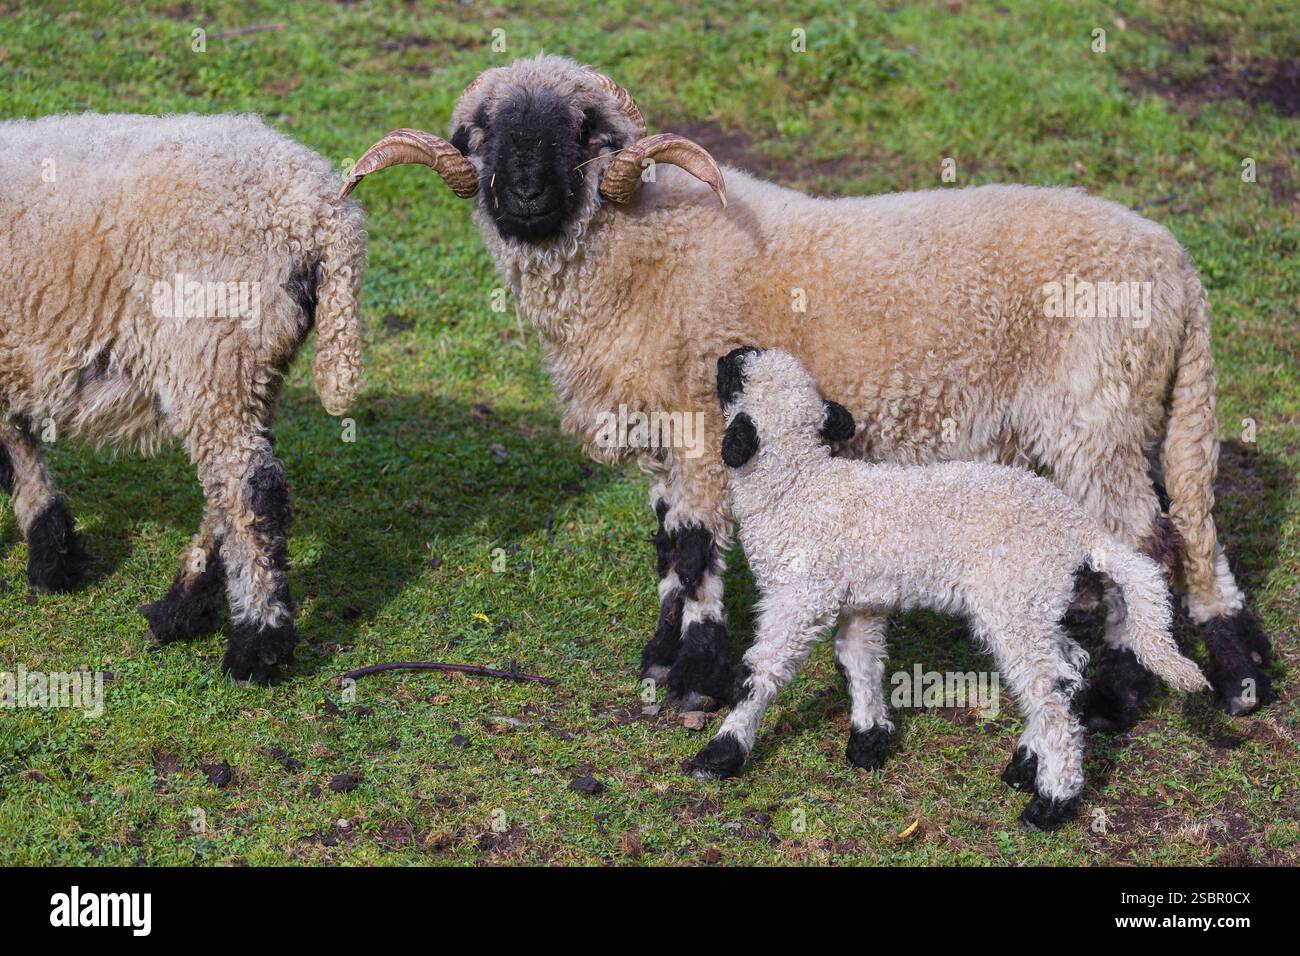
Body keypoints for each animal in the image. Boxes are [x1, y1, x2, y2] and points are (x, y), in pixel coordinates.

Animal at [0, 112, 366, 683]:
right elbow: (17, 451)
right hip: (251, 365)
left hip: (212, 345)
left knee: (248, 489)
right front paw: (54, 558)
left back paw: (255, 645)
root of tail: (324, 208)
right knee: (231, 486)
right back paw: (182, 610)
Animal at [342, 54, 1272, 721]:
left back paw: (1122, 694)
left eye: (584, 132)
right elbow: (664, 550)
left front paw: (697, 680)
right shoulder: (664, 439)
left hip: (1095, 414)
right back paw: (1238, 669)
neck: (641, 249)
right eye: (482, 132)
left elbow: (696, 554)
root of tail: (1179, 270)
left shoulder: (701, 428)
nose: (525, 193)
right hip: (1134, 416)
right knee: (1187, 532)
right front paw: (659, 656)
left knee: (1148, 544)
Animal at [686, 347, 1209, 829]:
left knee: (1051, 693)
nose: (726, 354)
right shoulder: (860, 598)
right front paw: (869, 741)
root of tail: (1079, 529)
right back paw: (1026, 764)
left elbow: (759, 671)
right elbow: (859, 661)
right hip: (1034, 601)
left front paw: (720, 754)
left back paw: (1049, 802)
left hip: (1015, 597)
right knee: (1069, 670)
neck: (797, 488)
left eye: (733, 376)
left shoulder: (800, 595)